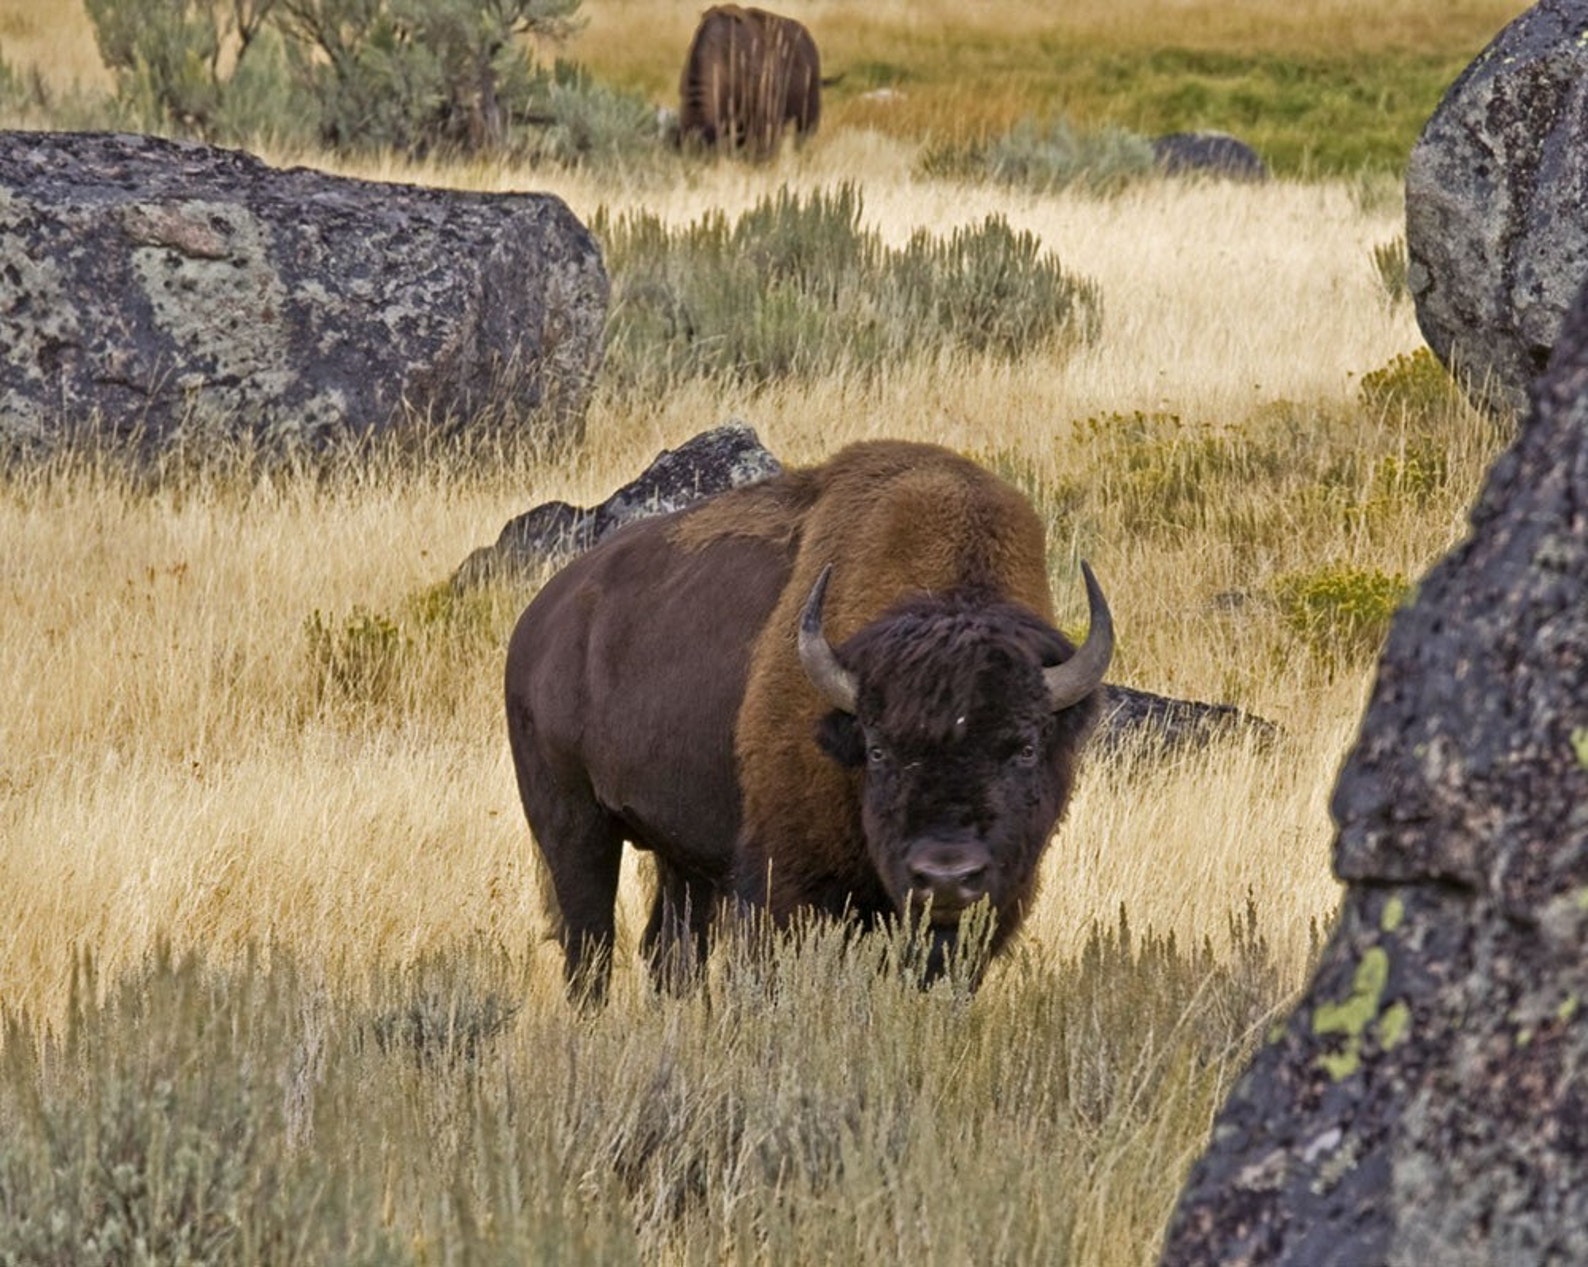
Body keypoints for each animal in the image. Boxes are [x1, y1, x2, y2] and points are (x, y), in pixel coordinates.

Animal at [505, 440, 1113, 997]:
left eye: (1026, 747)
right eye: (877, 749)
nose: (945, 876)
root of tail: (539, 623)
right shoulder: (784, 884)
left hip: (683, 856)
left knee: (671, 953)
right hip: (572, 824)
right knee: (590, 948)